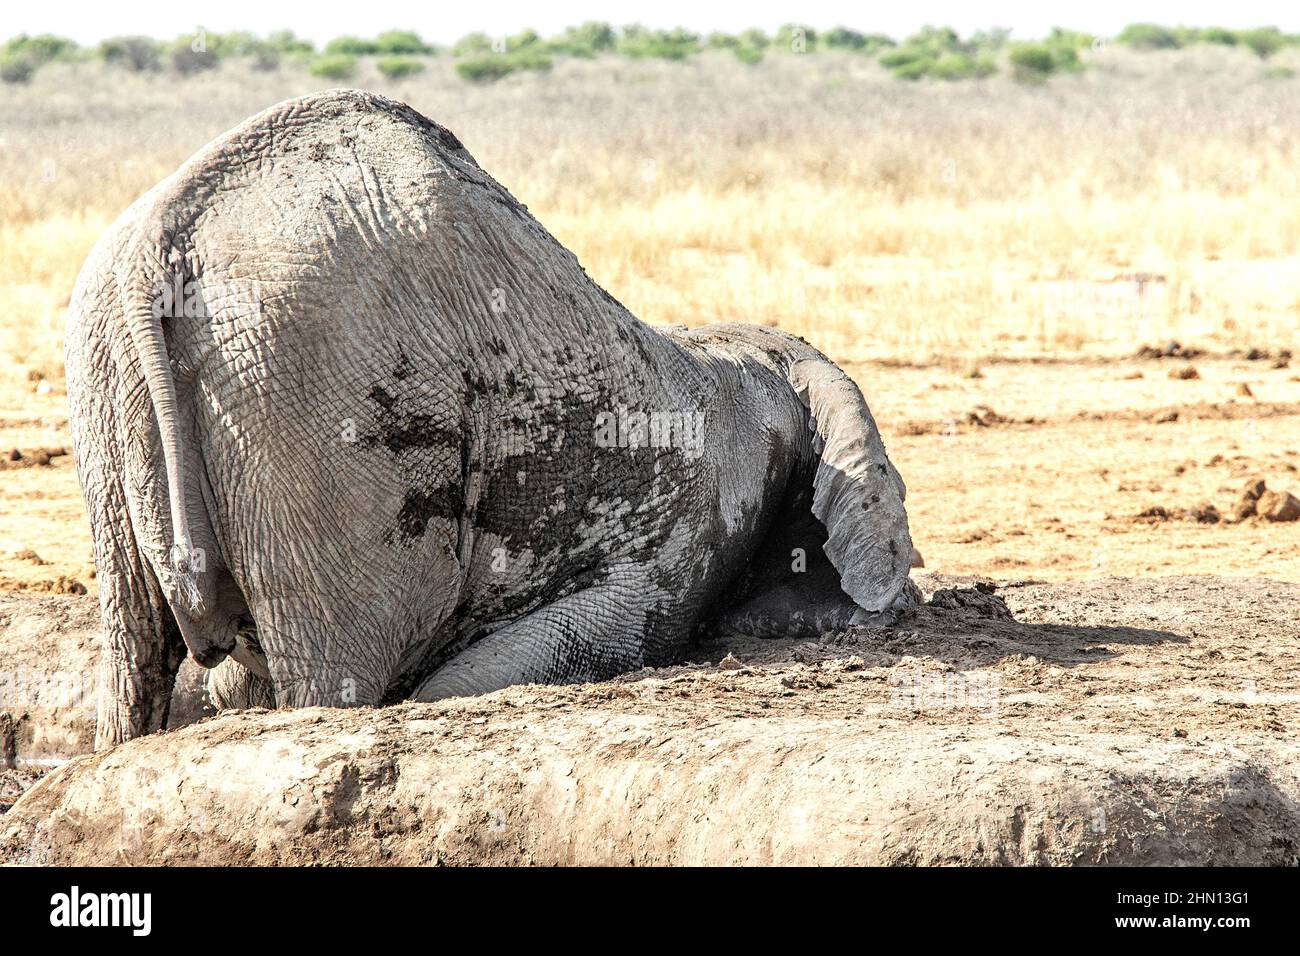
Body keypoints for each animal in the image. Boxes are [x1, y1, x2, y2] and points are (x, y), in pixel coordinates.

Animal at [65, 89, 916, 749]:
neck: (737, 355)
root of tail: (151, 253)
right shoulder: (676, 547)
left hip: (111, 377)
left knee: (133, 656)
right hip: (307, 398)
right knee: (334, 679)